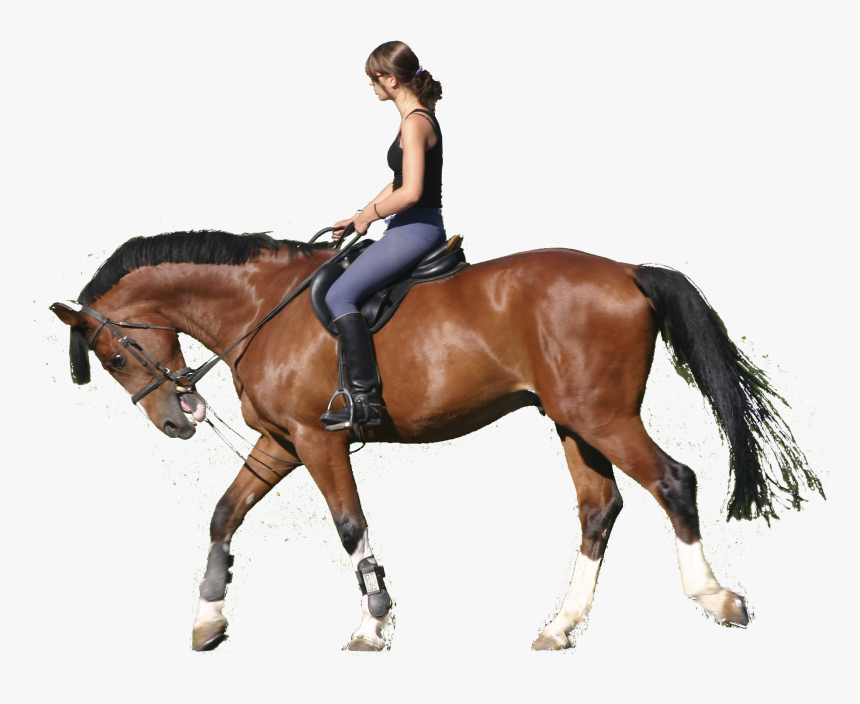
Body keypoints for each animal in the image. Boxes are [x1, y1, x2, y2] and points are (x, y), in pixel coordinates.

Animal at [50, 229, 823, 651]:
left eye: (114, 356)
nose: (176, 421)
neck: (261, 307)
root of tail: (628, 271)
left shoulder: (317, 441)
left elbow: (350, 526)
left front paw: (374, 625)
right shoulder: (281, 441)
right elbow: (223, 513)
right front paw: (209, 618)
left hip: (602, 416)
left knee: (672, 481)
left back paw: (716, 598)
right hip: (574, 421)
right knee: (599, 509)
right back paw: (561, 625)